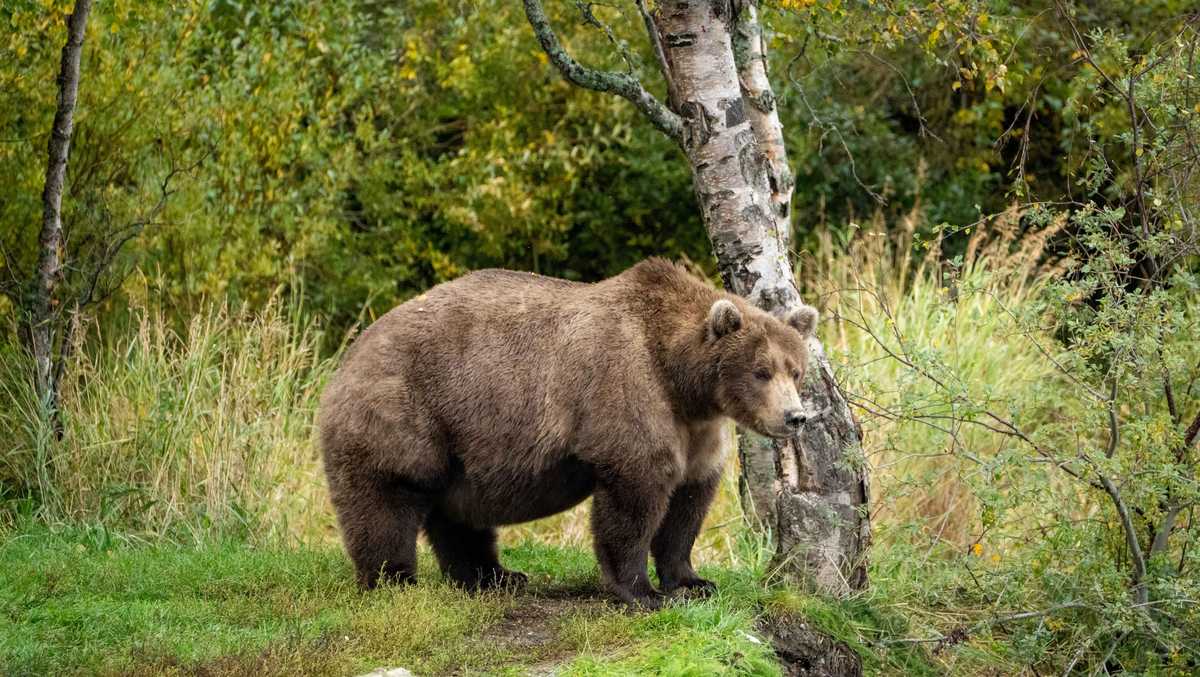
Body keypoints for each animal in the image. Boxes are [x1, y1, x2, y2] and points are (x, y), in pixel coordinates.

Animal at [318, 258, 818, 607]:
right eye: (760, 371)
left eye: (795, 370)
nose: (794, 417)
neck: (682, 380)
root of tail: (348, 357)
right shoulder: (627, 390)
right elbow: (635, 497)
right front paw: (643, 591)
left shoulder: (698, 430)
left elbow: (689, 502)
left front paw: (693, 582)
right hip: (404, 412)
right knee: (385, 500)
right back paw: (394, 580)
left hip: (460, 443)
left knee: (458, 513)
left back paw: (496, 576)